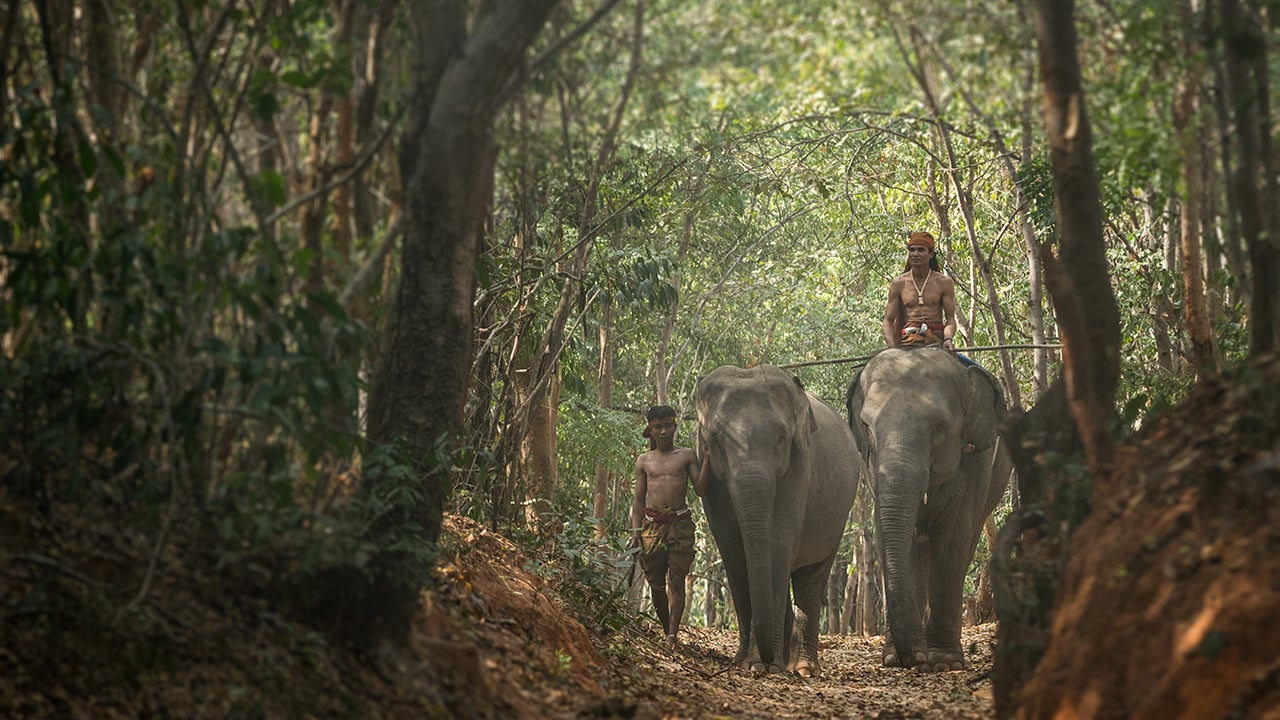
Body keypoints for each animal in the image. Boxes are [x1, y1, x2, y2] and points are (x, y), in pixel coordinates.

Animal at [695, 364, 859, 675]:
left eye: (782, 438)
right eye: (714, 441)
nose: (767, 658)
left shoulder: (798, 472)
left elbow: (778, 542)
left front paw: (762, 666)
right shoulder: (711, 481)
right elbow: (733, 551)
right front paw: (745, 663)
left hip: (839, 517)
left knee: (811, 581)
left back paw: (803, 668)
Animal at [845, 346, 1012, 672]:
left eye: (940, 427)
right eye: (867, 427)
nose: (913, 659)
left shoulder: (977, 463)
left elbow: (952, 541)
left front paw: (944, 663)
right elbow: (897, 541)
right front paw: (895, 659)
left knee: (965, 544)